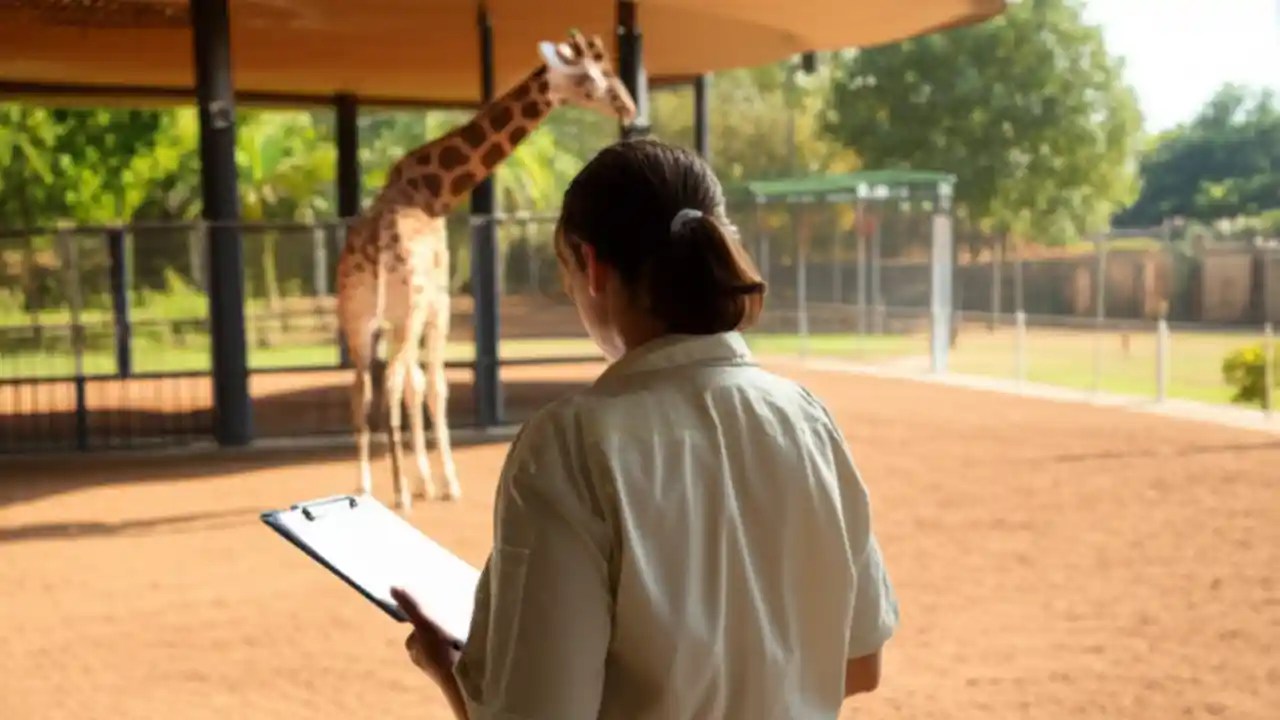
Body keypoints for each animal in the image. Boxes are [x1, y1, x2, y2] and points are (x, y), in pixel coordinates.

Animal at [335, 30, 638, 512]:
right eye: (596, 75)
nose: (628, 107)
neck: (429, 193)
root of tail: (376, 245)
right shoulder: (437, 305)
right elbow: (433, 386)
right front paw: (444, 483)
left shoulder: (414, 311)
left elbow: (419, 385)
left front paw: (426, 481)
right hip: (405, 310)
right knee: (394, 379)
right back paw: (397, 491)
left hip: (357, 316)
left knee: (362, 383)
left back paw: (365, 486)